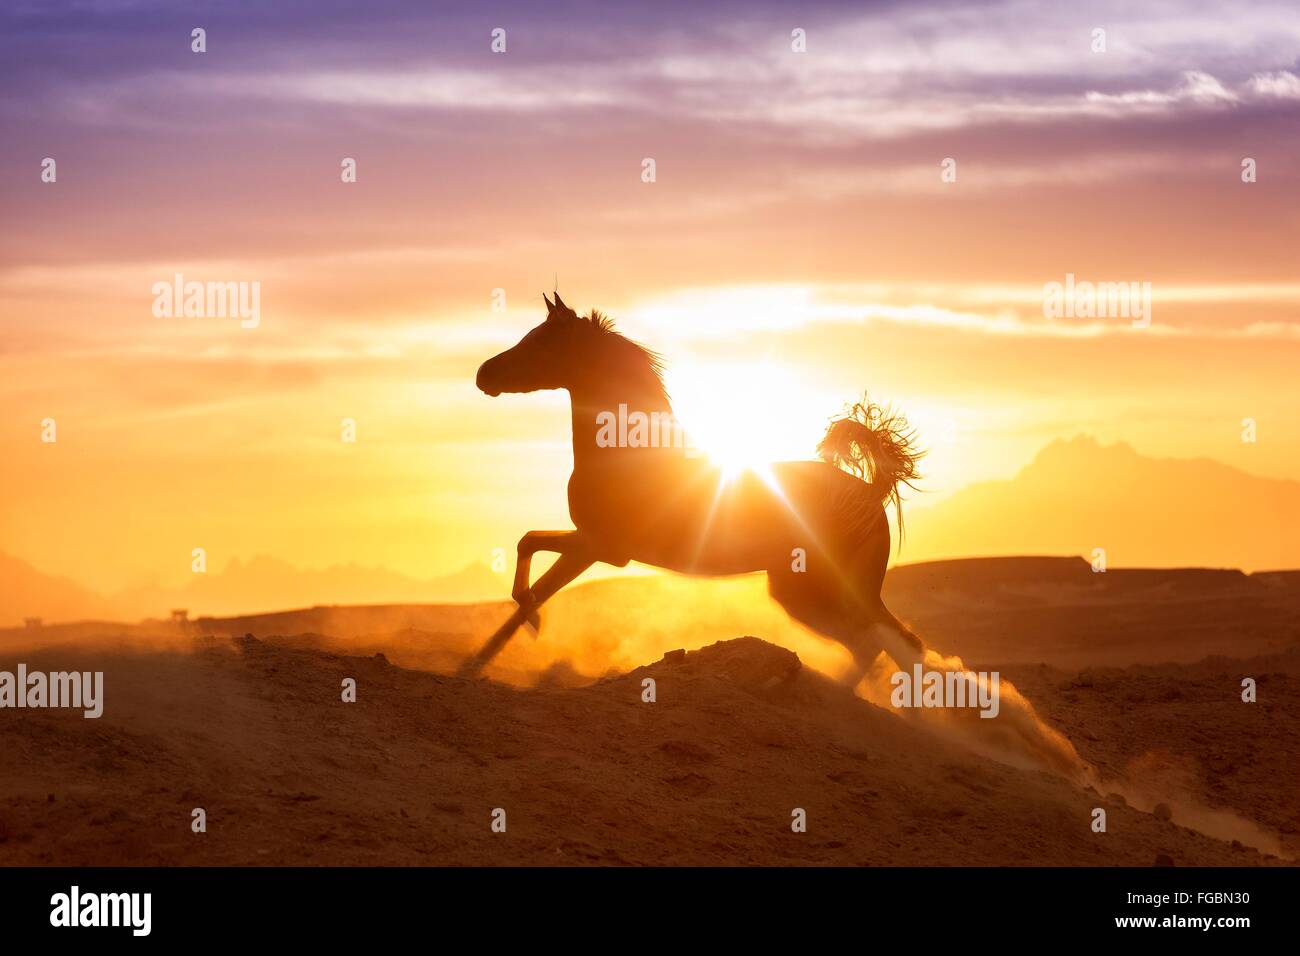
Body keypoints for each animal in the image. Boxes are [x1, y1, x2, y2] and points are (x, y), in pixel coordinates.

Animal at [464, 292, 926, 682]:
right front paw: (483, 657)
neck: (626, 454)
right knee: (890, 644)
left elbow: (532, 565)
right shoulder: (591, 544)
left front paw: (522, 627)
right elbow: (532, 561)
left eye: (542, 343)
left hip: (822, 592)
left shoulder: (601, 546)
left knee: (883, 645)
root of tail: (871, 493)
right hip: (815, 592)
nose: (484, 375)